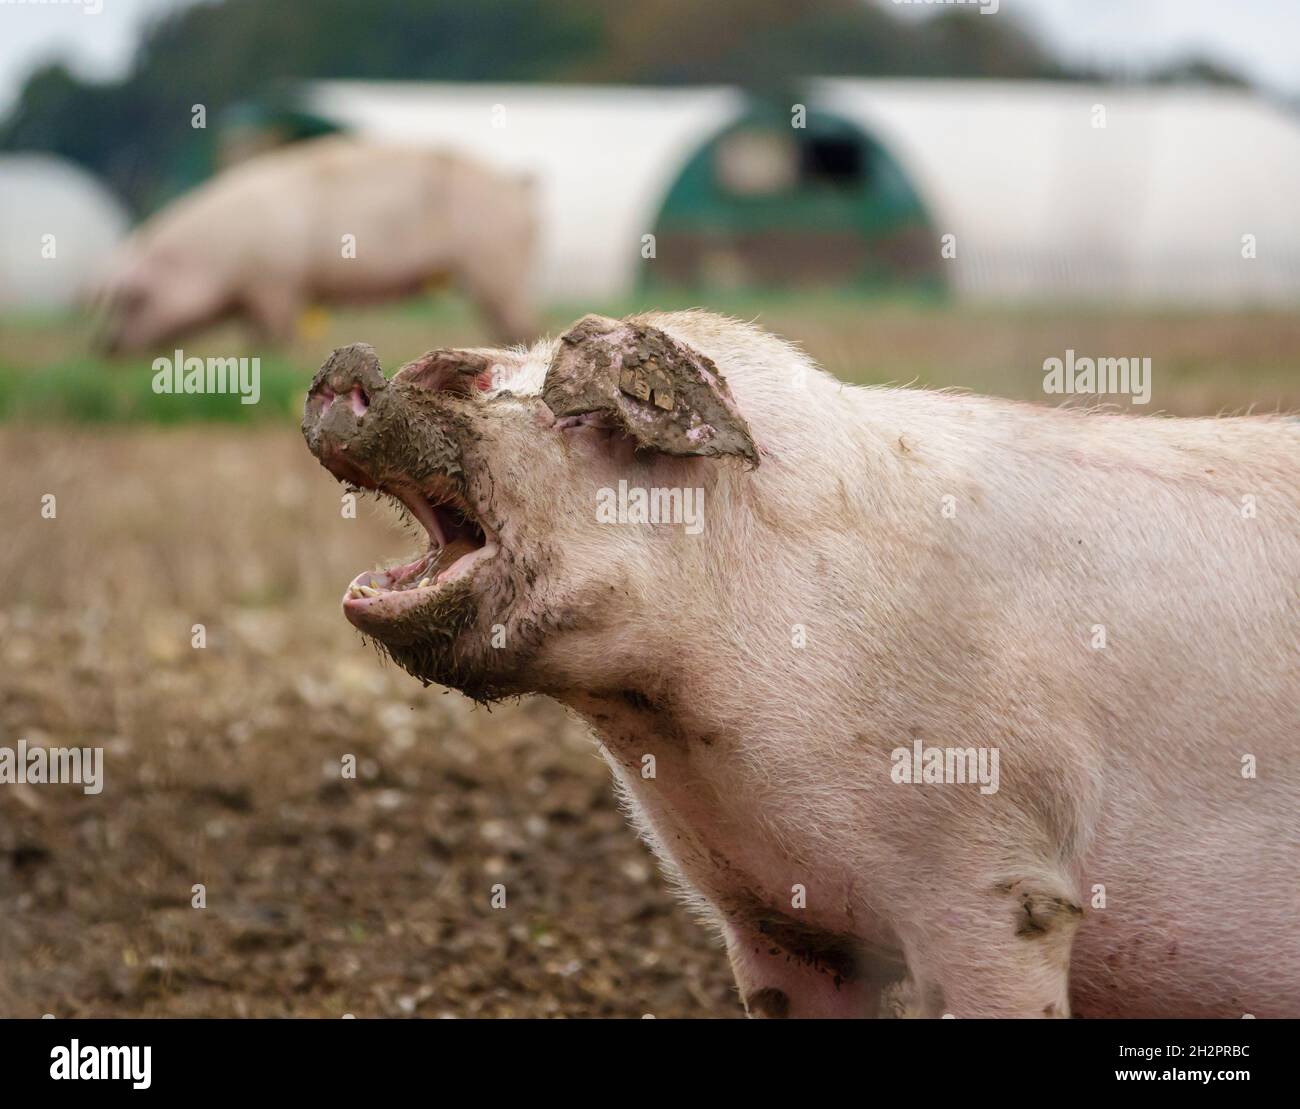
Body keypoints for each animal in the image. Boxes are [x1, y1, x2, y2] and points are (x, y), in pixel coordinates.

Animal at [94, 135, 539, 352]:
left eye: (134, 298)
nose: (104, 347)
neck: (218, 257)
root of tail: (519, 189)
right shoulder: (260, 292)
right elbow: (255, 335)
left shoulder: (275, 283)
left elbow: (277, 332)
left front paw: (277, 359)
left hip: (497, 263)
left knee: (519, 321)